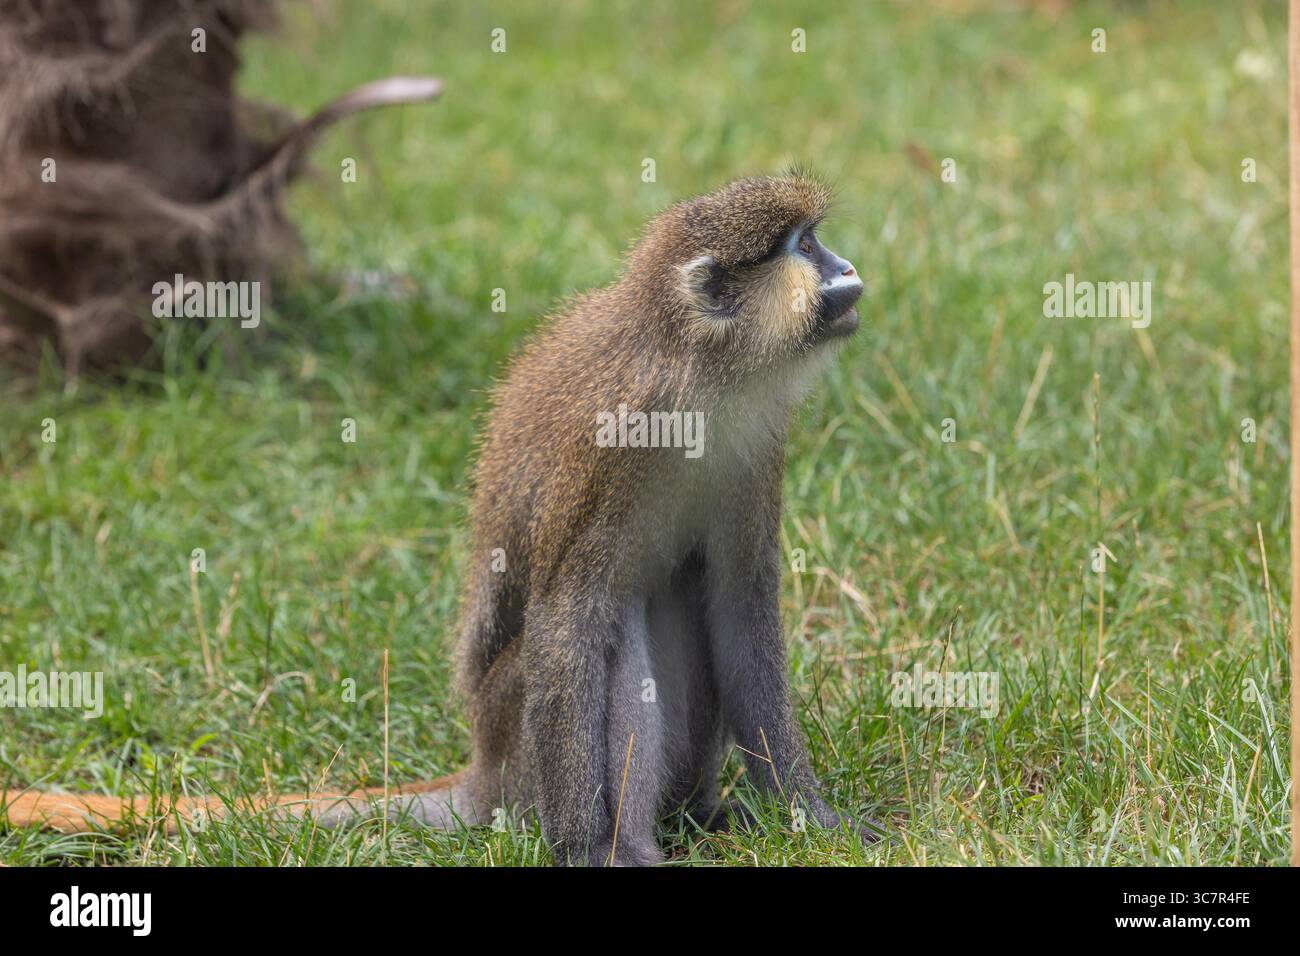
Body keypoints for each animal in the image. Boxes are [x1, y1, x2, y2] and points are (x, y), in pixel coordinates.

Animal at [1, 172, 873, 865]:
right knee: (613, 626)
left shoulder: (757, 447)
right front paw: (586, 850)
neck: (704, 374)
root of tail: (484, 772)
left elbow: (737, 604)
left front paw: (810, 817)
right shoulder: (612, 442)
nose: (848, 267)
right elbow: (569, 615)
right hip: (516, 736)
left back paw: (701, 814)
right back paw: (629, 844)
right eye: (802, 245)